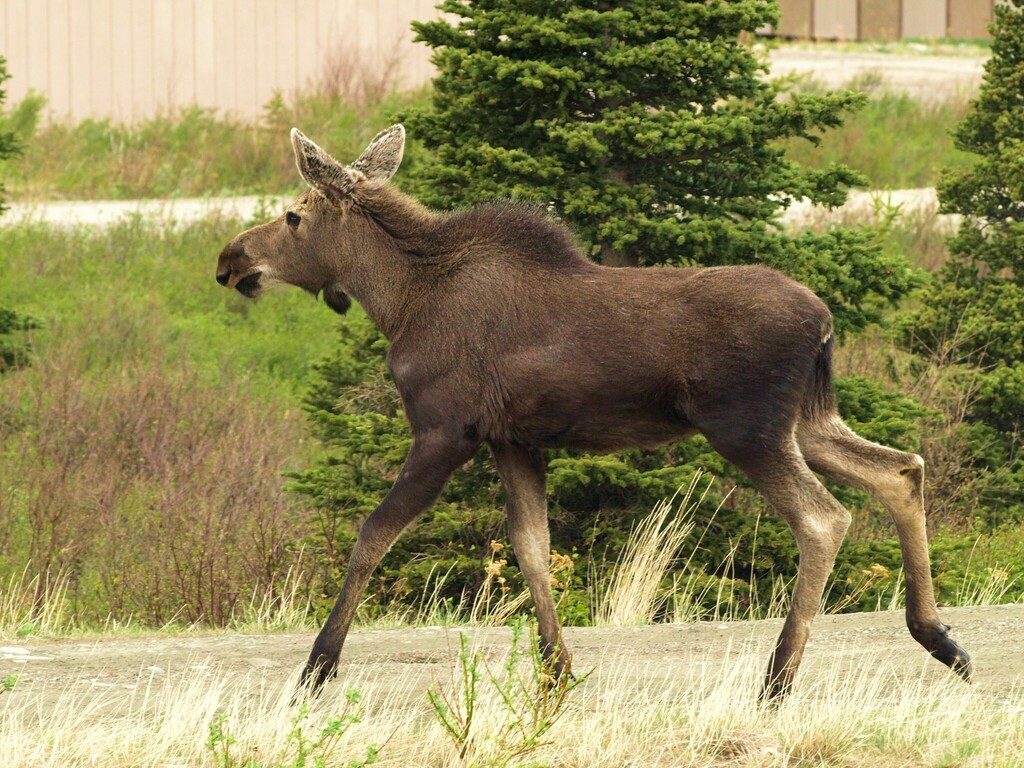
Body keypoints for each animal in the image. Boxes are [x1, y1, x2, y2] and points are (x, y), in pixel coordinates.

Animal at [215, 125, 971, 702]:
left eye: (293, 216)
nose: (229, 259)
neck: (398, 299)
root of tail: (825, 320)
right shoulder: (514, 440)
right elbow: (533, 549)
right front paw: (556, 671)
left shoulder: (444, 430)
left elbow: (373, 535)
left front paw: (317, 667)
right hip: (806, 421)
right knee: (901, 469)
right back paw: (939, 640)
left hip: (748, 427)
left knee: (825, 516)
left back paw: (778, 680)